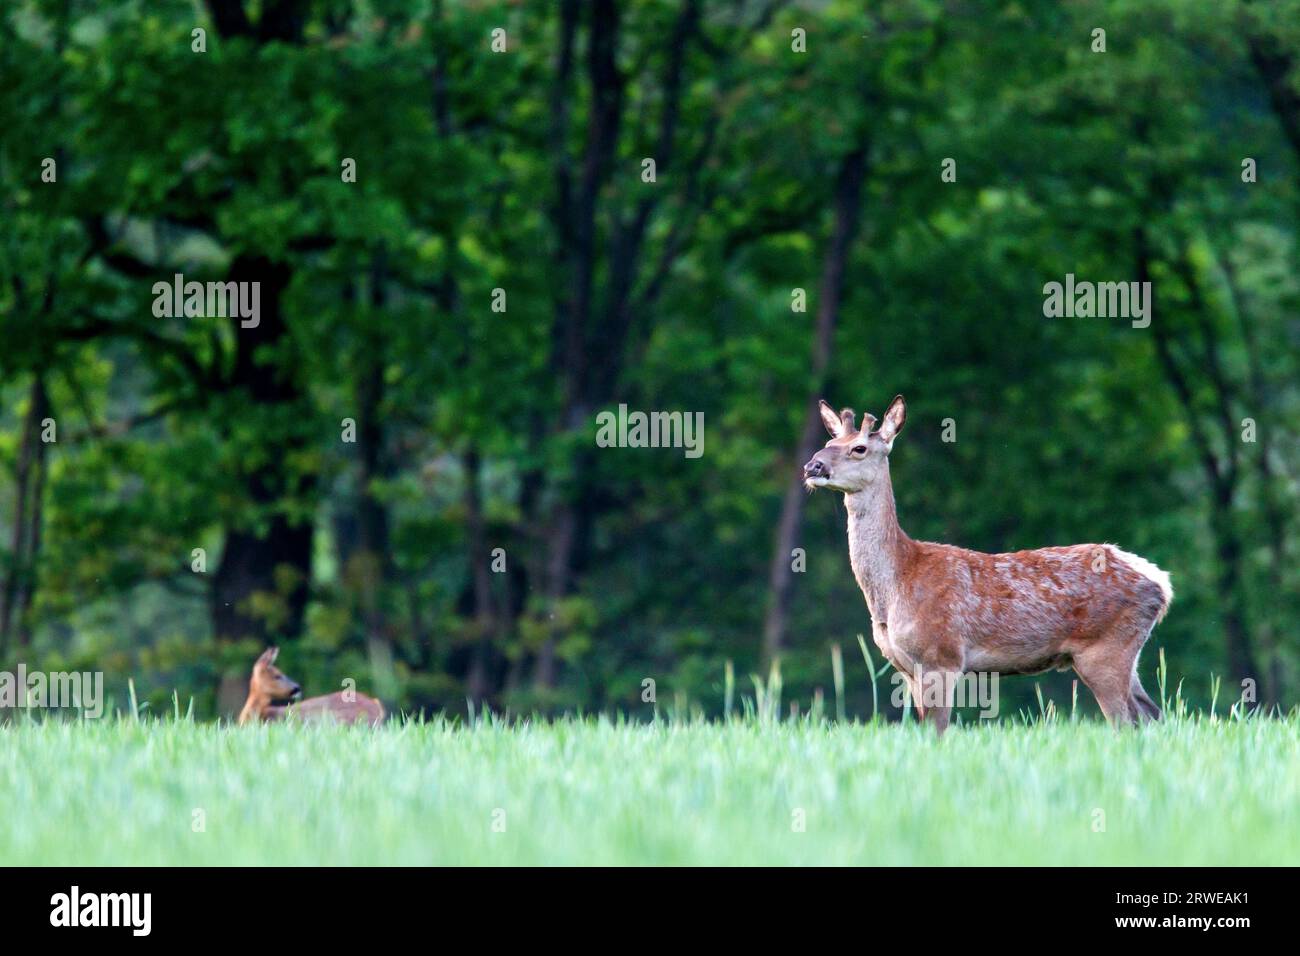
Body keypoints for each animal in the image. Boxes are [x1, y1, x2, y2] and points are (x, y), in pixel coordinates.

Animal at [804, 395, 1171, 735]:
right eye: (829, 444)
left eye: (859, 448)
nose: (813, 466)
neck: (897, 583)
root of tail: (1161, 583)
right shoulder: (908, 669)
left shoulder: (942, 656)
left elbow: (938, 730)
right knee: (1152, 715)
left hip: (1106, 649)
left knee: (1126, 721)